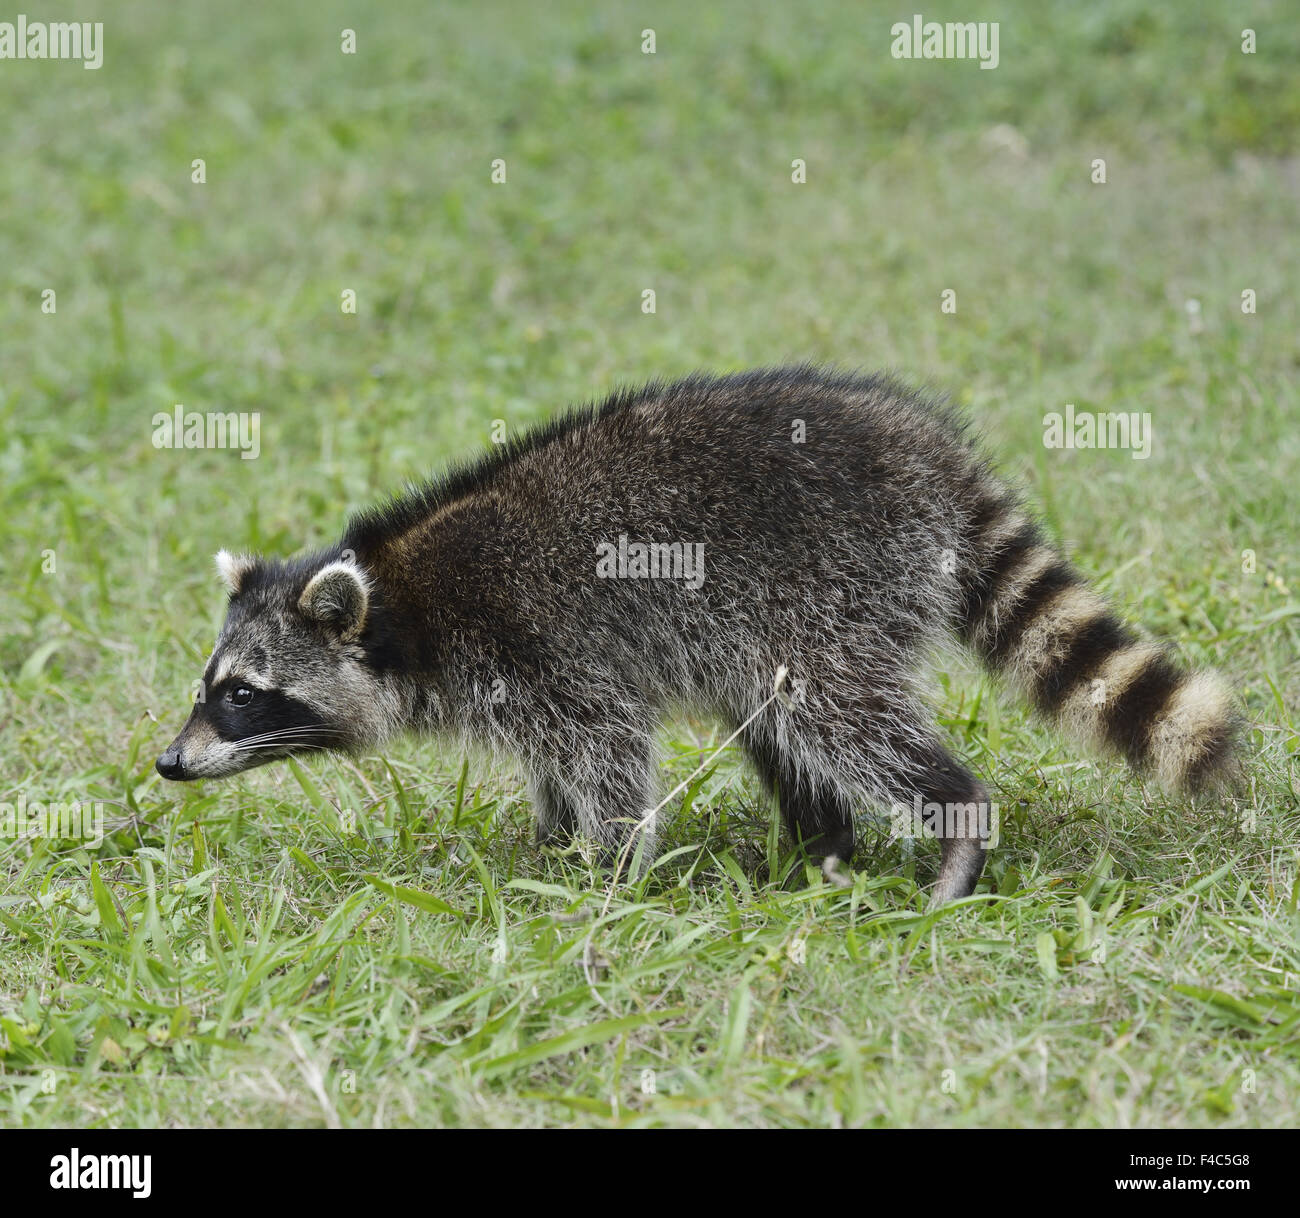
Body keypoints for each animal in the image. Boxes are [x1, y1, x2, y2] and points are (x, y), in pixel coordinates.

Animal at [157, 367, 1240, 900]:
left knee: (838, 718)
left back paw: (954, 824)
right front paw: (549, 844)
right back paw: (821, 849)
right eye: (211, 684)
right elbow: (556, 767)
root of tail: (928, 453)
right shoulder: (517, 680)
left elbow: (609, 757)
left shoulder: (546, 650)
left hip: (831, 581)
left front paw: (605, 874)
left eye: (244, 694)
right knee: (778, 722)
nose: (168, 761)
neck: (402, 604)